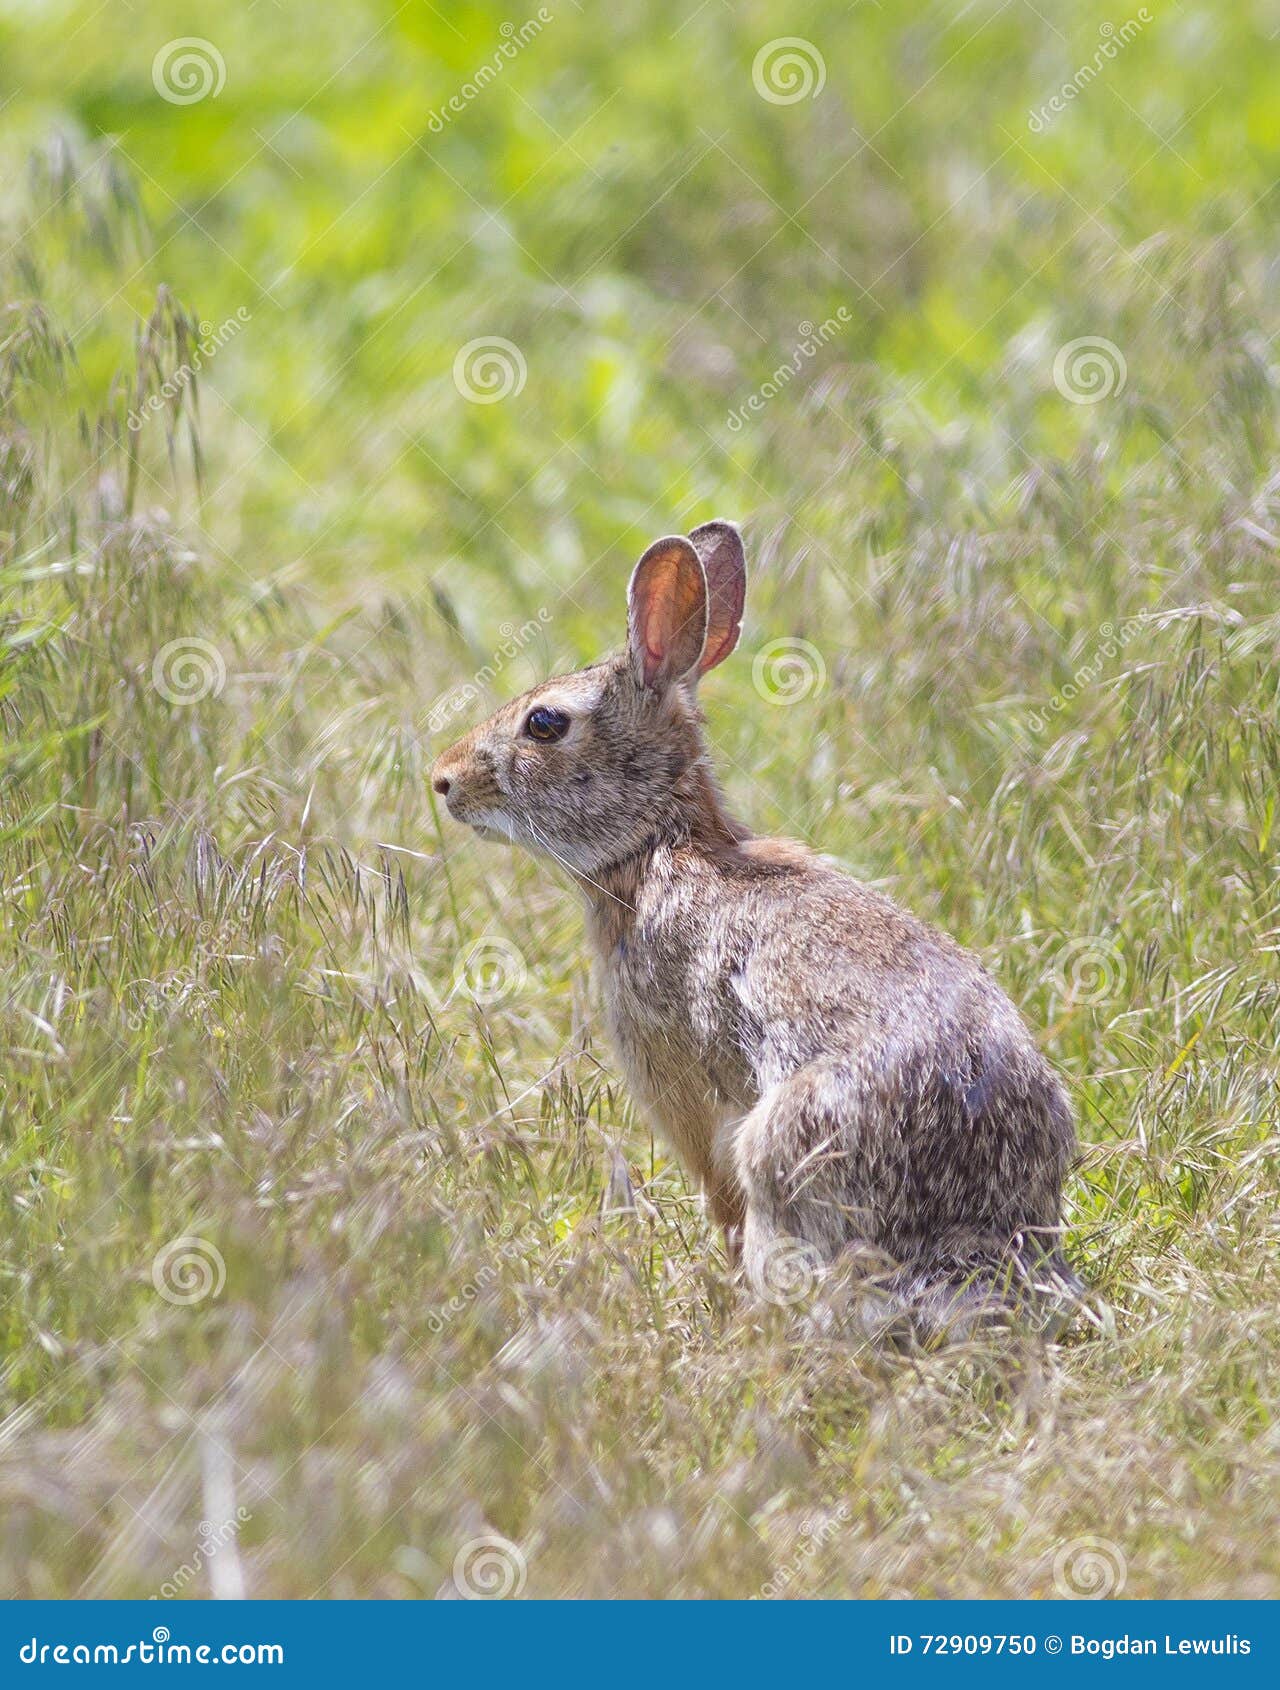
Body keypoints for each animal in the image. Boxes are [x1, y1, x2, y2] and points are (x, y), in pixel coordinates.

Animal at [432, 522, 1082, 1334]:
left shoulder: (682, 1090)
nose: (443, 779)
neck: (655, 844)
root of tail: (984, 1236)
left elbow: (718, 1200)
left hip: (782, 1142)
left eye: (544, 724)